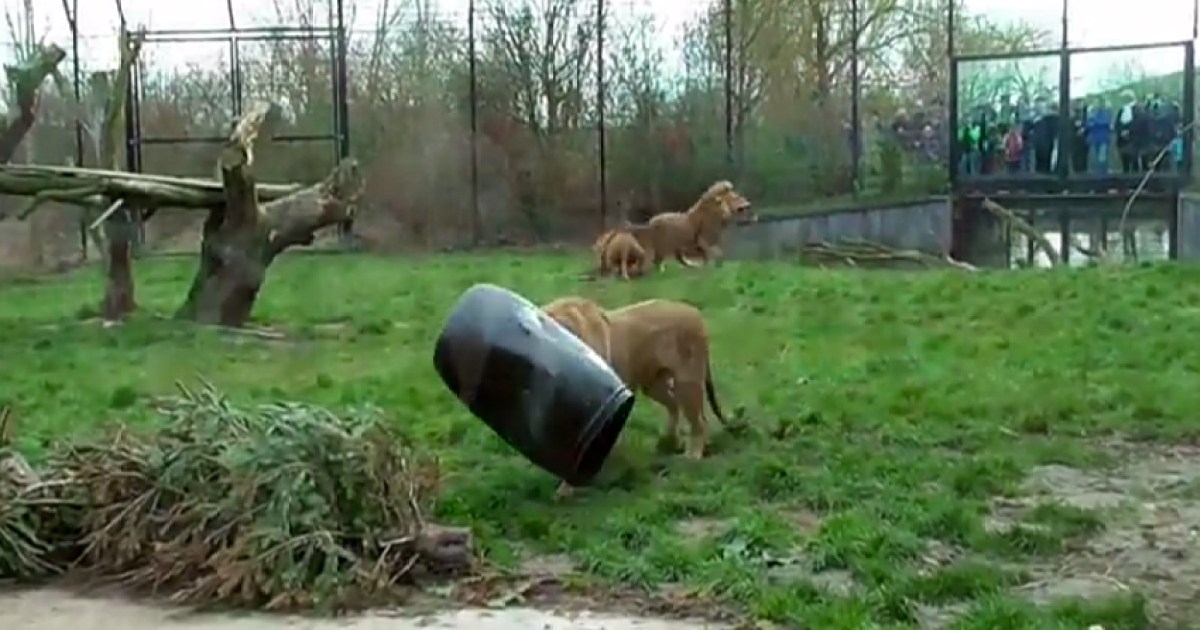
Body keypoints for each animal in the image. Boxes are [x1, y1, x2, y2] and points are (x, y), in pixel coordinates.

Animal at [541, 295, 728, 497]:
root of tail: (695, 313)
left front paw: (566, 489)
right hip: (653, 385)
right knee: (674, 406)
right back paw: (667, 442)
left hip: (687, 383)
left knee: (699, 422)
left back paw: (692, 458)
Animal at [623, 180, 753, 271]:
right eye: (738, 197)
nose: (749, 204)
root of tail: (651, 221)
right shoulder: (704, 240)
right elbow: (717, 253)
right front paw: (713, 267)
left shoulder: (702, 244)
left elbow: (709, 256)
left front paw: (707, 267)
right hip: (664, 245)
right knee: (657, 260)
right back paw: (662, 270)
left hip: (676, 247)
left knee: (678, 259)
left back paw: (691, 266)